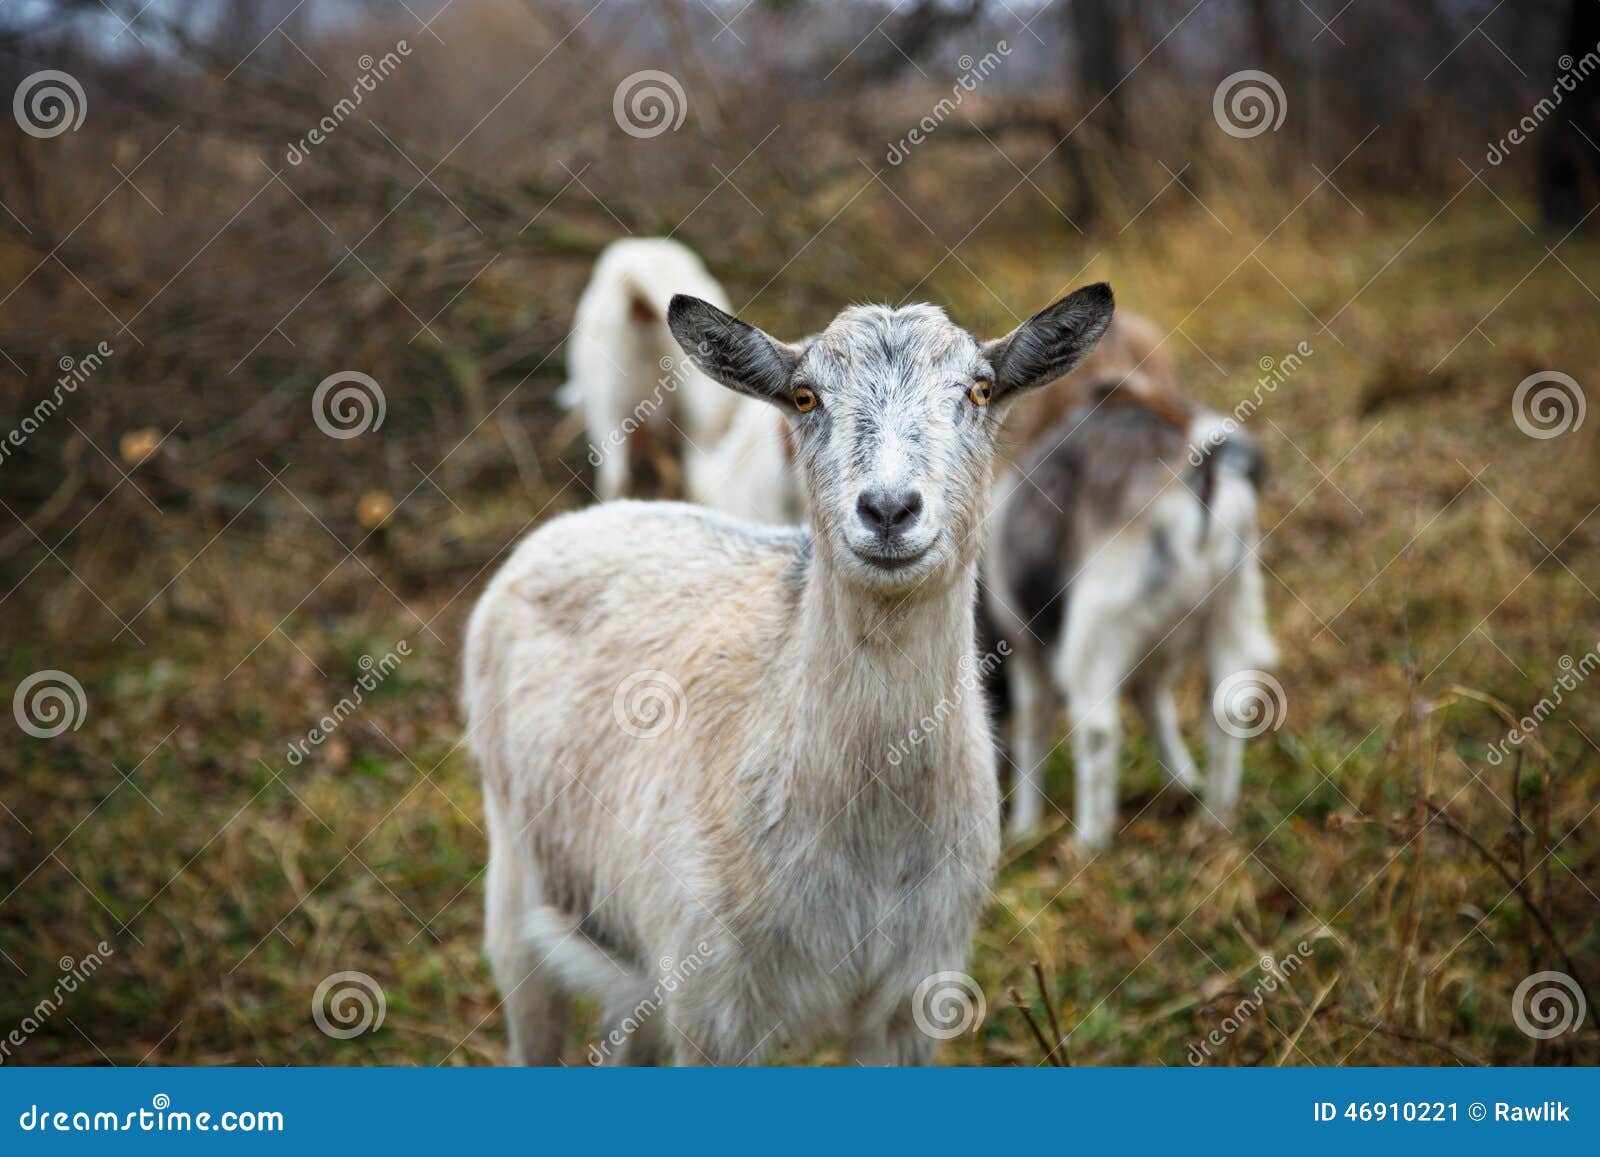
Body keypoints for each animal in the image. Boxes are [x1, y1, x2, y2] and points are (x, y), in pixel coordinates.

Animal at [464, 283, 1116, 1064]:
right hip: (516, 888)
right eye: (805, 397)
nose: (889, 509)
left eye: (981, 390)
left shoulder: (913, 998)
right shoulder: (710, 999)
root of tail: (580, 522)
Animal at [982, 379, 1278, 848]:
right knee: (1226, 712)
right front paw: (1181, 780)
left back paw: (1089, 843)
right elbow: (1153, 702)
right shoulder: (1148, 658)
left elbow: (1032, 730)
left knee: (1098, 730)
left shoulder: (1028, 659)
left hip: (1095, 634)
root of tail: (1196, 471)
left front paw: (1024, 829)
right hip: (1231, 611)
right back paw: (1215, 820)